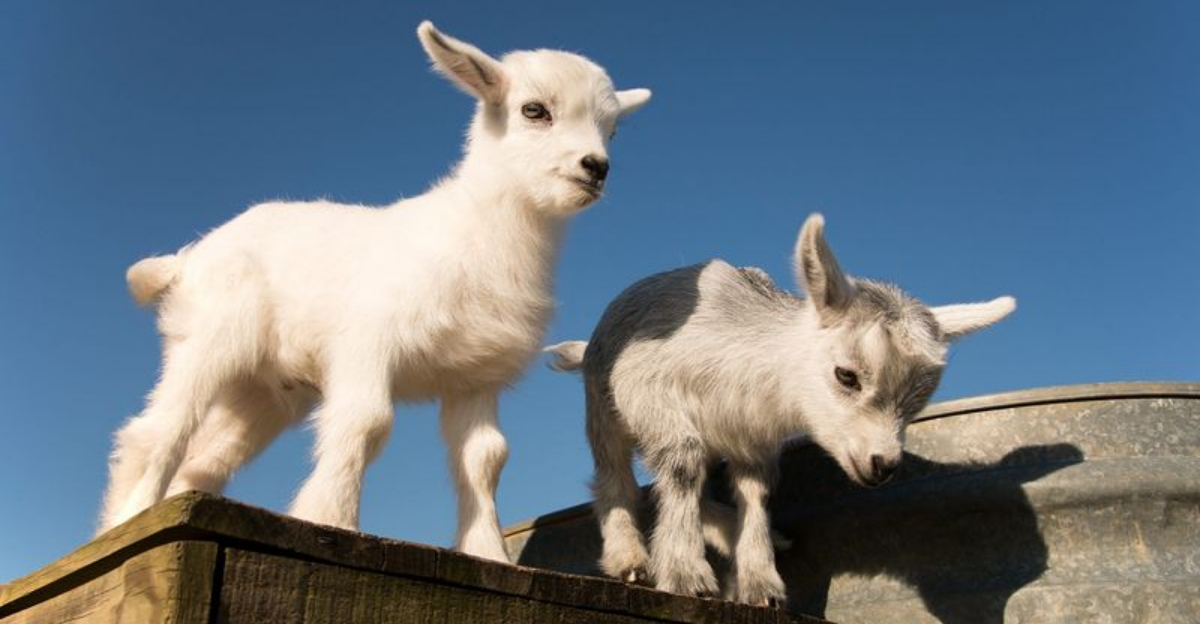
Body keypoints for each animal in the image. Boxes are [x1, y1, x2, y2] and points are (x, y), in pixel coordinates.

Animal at [98, 21, 651, 563]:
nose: (595, 167)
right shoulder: (368, 344)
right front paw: (331, 518)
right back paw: (126, 523)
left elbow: (487, 457)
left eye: (612, 129)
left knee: (204, 459)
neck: (469, 229)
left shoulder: (475, 376)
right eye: (534, 110)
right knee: (157, 430)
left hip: (263, 393)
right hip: (210, 337)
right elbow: (366, 423)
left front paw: (488, 552)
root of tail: (187, 258)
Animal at [546, 213, 1014, 604]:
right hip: (603, 409)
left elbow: (755, 490)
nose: (882, 465)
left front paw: (760, 582)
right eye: (846, 376)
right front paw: (685, 574)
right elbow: (682, 464)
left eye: (918, 398)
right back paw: (629, 559)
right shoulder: (648, 390)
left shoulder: (753, 438)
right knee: (616, 477)